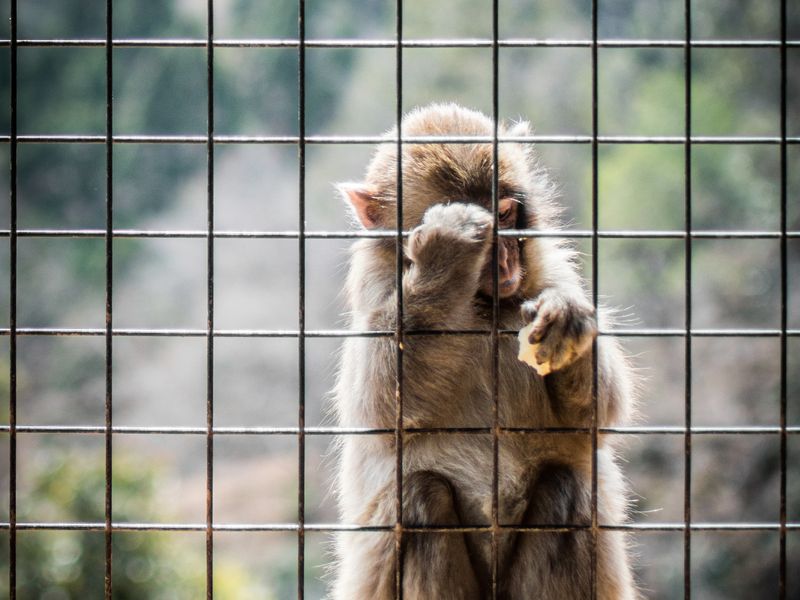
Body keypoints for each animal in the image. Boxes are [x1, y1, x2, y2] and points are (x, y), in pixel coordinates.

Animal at [330, 103, 637, 599]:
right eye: (487, 233)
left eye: (508, 213)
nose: (507, 261)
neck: (480, 304)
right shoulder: (374, 286)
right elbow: (377, 410)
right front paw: (444, 258)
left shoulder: (549, 268)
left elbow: (599, 417)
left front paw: (567, 318)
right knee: (418, 497)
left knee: (567, 488)